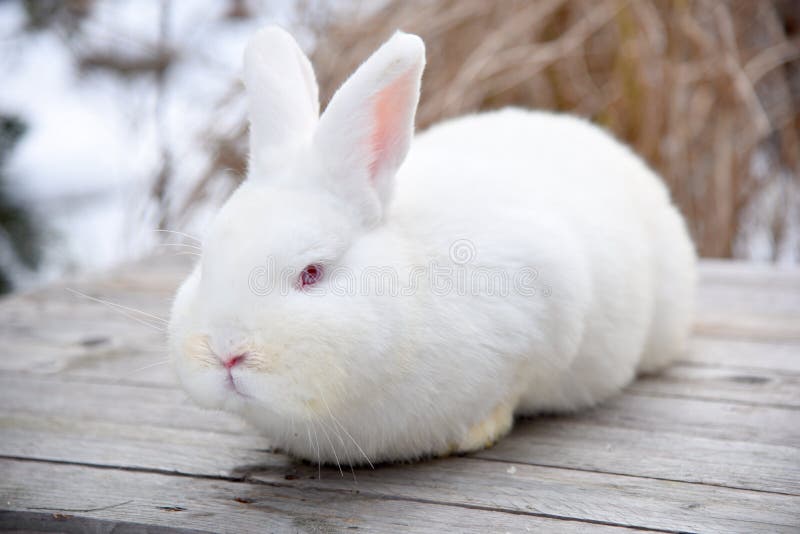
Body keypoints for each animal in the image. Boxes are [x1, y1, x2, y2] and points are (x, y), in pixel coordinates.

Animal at [167, 26, 696, 465]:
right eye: (205, 264)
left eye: (311, 273)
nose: (226, 353)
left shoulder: (551, 303)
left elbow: (518, 384)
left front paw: (475, 432)